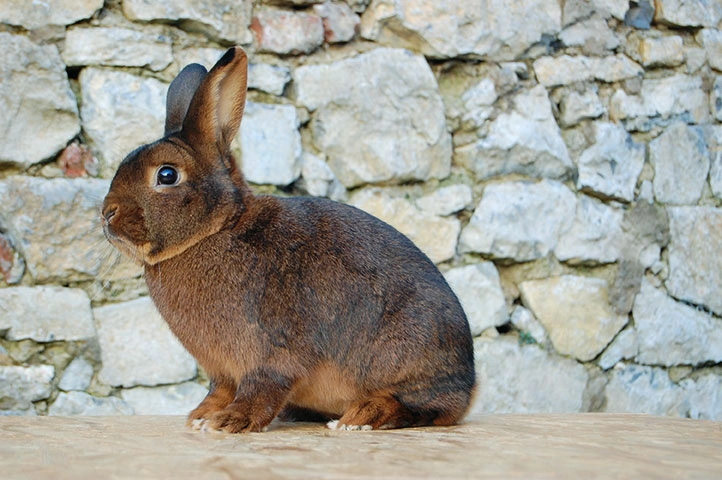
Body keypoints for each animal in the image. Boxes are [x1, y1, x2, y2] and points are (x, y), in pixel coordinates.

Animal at [101, 46, 476, 433]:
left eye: (166, 175)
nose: (106, 213)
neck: (217, 229)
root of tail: (469, 384)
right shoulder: (223, 372)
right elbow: (220, 390)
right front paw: (202, 417)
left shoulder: (271, 354)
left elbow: (262, 389)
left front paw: (231, 421)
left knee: (422, 407)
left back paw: (362, 416)